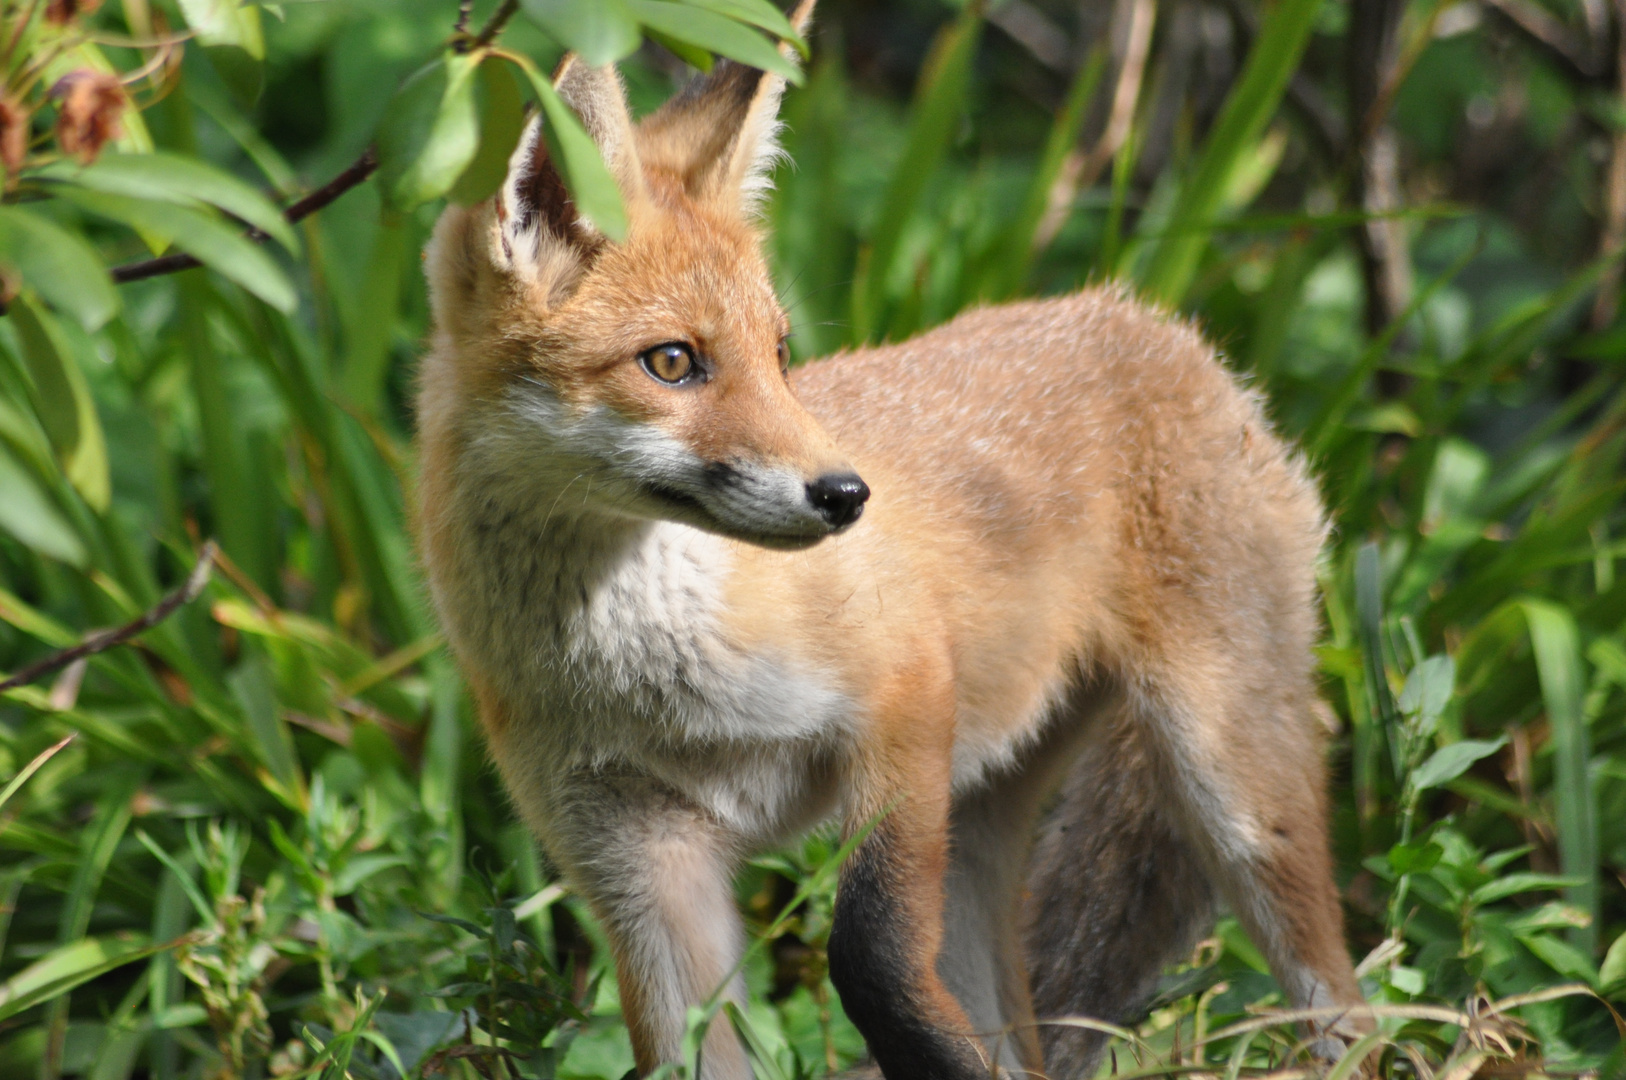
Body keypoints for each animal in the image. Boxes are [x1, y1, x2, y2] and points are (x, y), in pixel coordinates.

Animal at [414, 6, 1370, 1078]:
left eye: (780, 355)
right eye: (672, 363)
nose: (845, 495)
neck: (651, 685)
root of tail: (1155, 324)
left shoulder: (905, 700)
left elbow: (868, 951)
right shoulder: (636, 859)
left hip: (1232, 794)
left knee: (1353, 1003)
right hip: (983, 835)